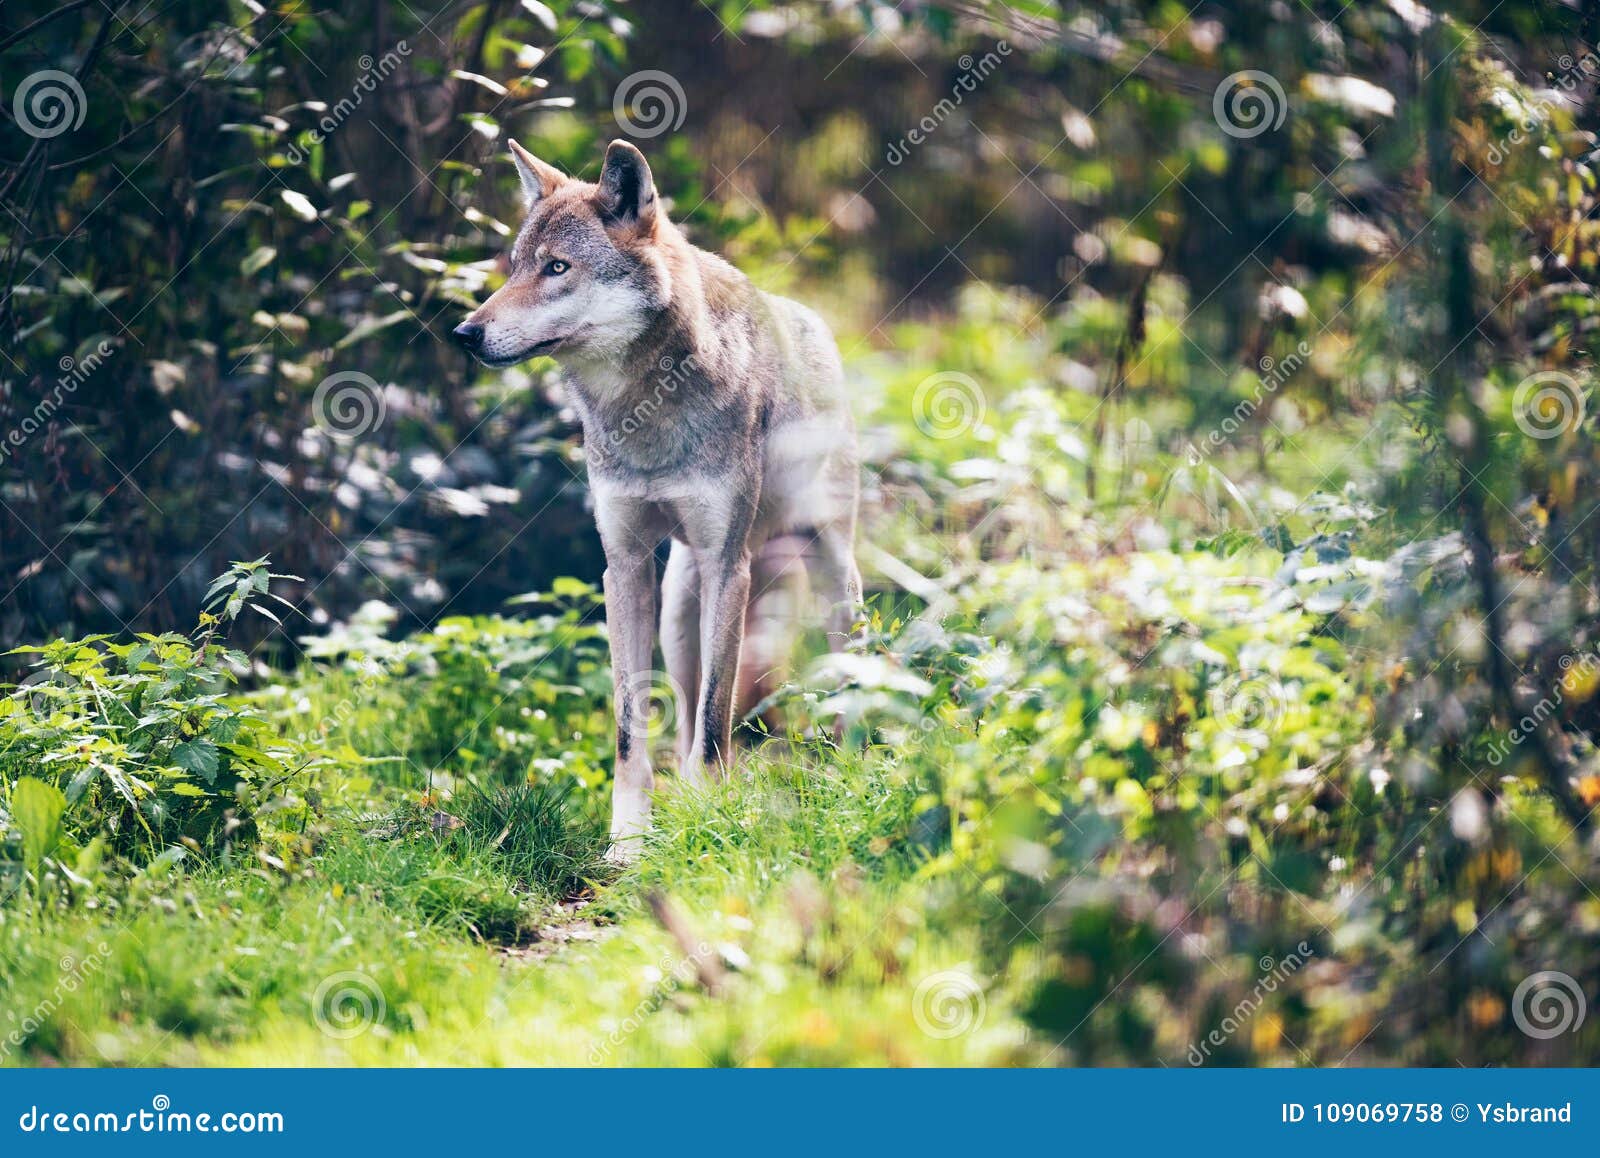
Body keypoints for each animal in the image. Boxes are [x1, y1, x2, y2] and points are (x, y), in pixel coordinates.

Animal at [454, 139, 861, 863]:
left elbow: (715, 724)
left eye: (557, 268)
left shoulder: (730, 566)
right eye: (514, 268)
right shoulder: (624, 565)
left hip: (833, 583)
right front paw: (628, 842)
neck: (644, 412)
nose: (464, 333)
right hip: (678, 607)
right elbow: (630, 726)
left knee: (842, 686)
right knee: (681, 715)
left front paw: (707, 825)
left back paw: (846, 769)